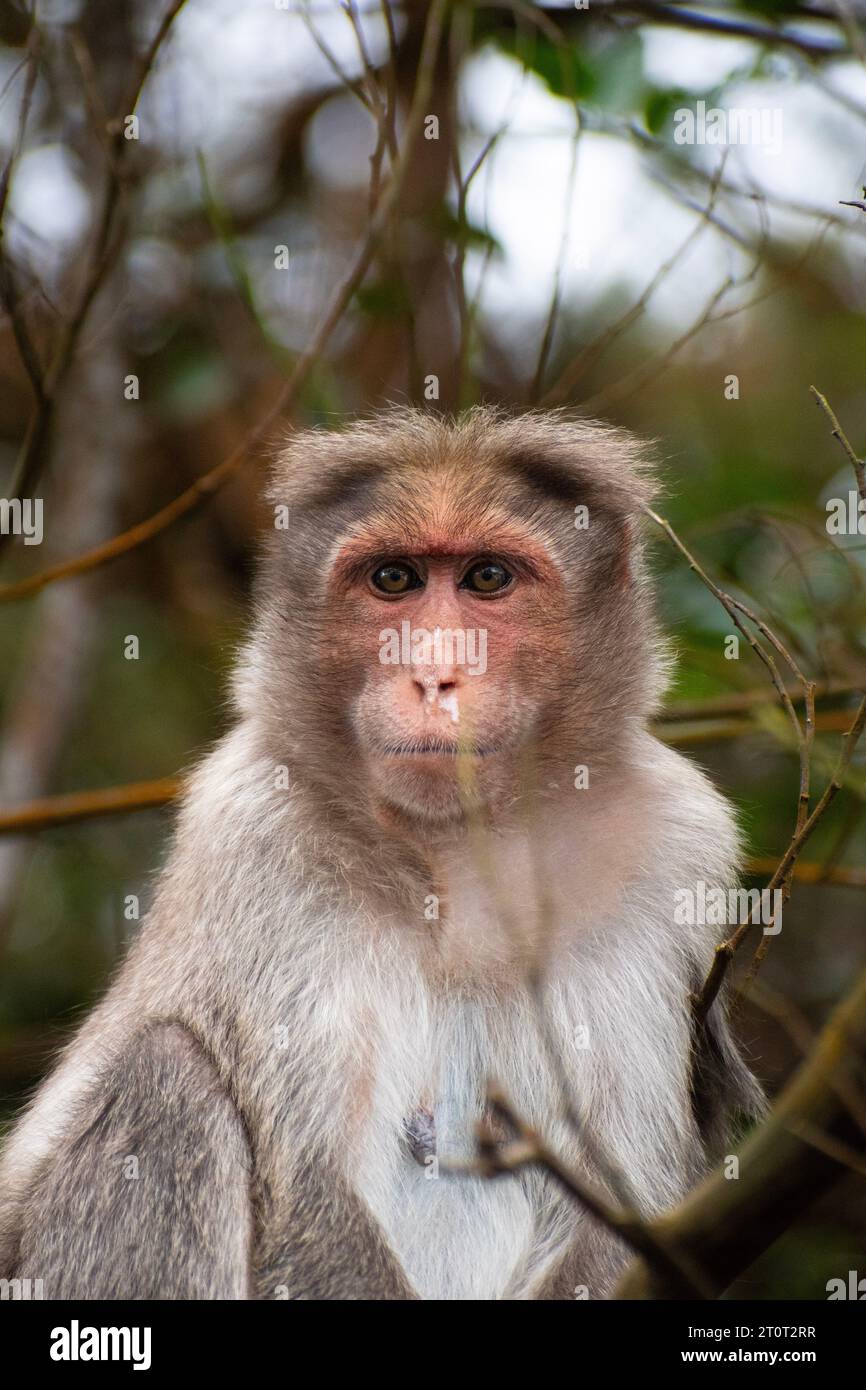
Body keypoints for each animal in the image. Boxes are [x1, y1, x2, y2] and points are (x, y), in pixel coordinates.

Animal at [0, 407, 764, 1301]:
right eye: (393, 580)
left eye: (488, 579)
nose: (432, 675)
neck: (458, 857)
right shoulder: (254, 829)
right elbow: (311, 1196)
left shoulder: (674, 846)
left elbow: (624, 1204)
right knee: (167, 1080)